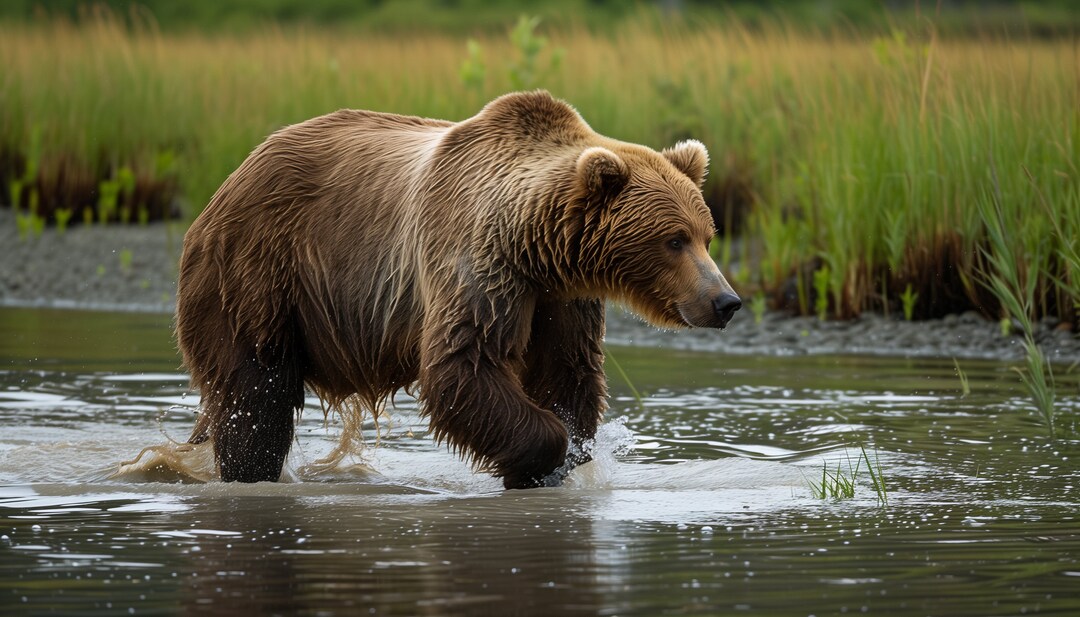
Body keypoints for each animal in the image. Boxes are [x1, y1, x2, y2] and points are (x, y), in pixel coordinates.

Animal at [175, 91, 741, 489]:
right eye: (673, 239)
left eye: (708, 235)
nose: (726, 301)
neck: (537, 245)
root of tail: (229, 181)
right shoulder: (479, 257)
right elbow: (463, 364)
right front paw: (544, 457)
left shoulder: (562, 298)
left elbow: (568, 370)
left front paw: (568, 452)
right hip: (257, 275)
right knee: (256, 394)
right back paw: (249, 473)